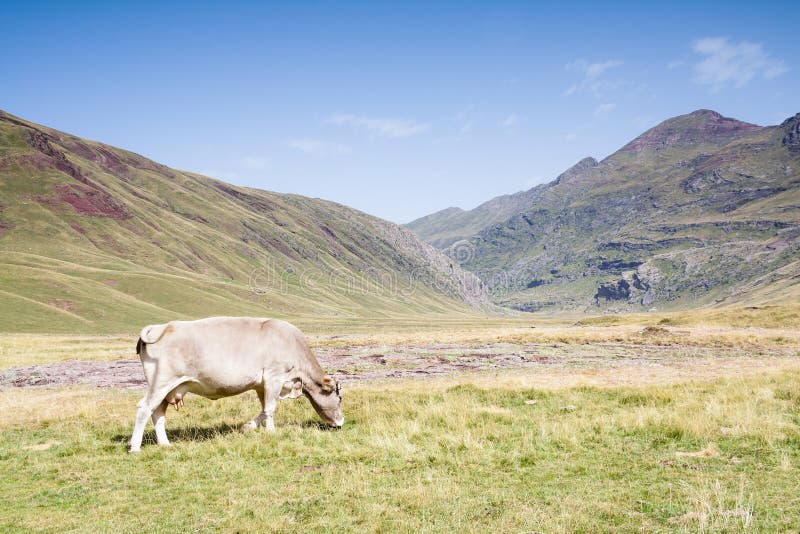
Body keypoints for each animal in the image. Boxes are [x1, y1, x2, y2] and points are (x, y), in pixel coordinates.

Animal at [129, 317, 343, 452]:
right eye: (339, 398)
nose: (341, 422)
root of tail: (160, 327)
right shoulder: (274, 377)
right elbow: (271, 408)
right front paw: (271, 431)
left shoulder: (261, 384)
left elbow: (264, 408)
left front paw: (248, 427)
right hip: (161, 382)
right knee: (144, 408)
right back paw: (135, 447)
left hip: (170, 388)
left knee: (157, 412)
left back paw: (165, 444)